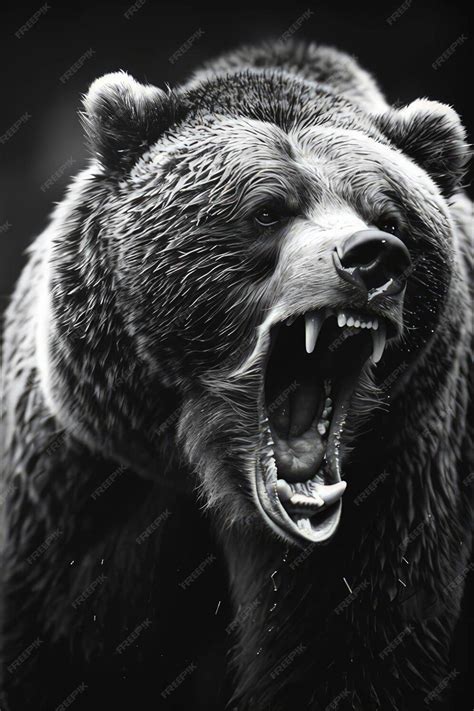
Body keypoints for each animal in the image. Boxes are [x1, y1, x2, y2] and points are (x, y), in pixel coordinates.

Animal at [1, 40, 473, 711]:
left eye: (390, 215)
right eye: (267, 210)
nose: (374, 256)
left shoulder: (393, 491)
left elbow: (349, 658)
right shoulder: (80, 483)